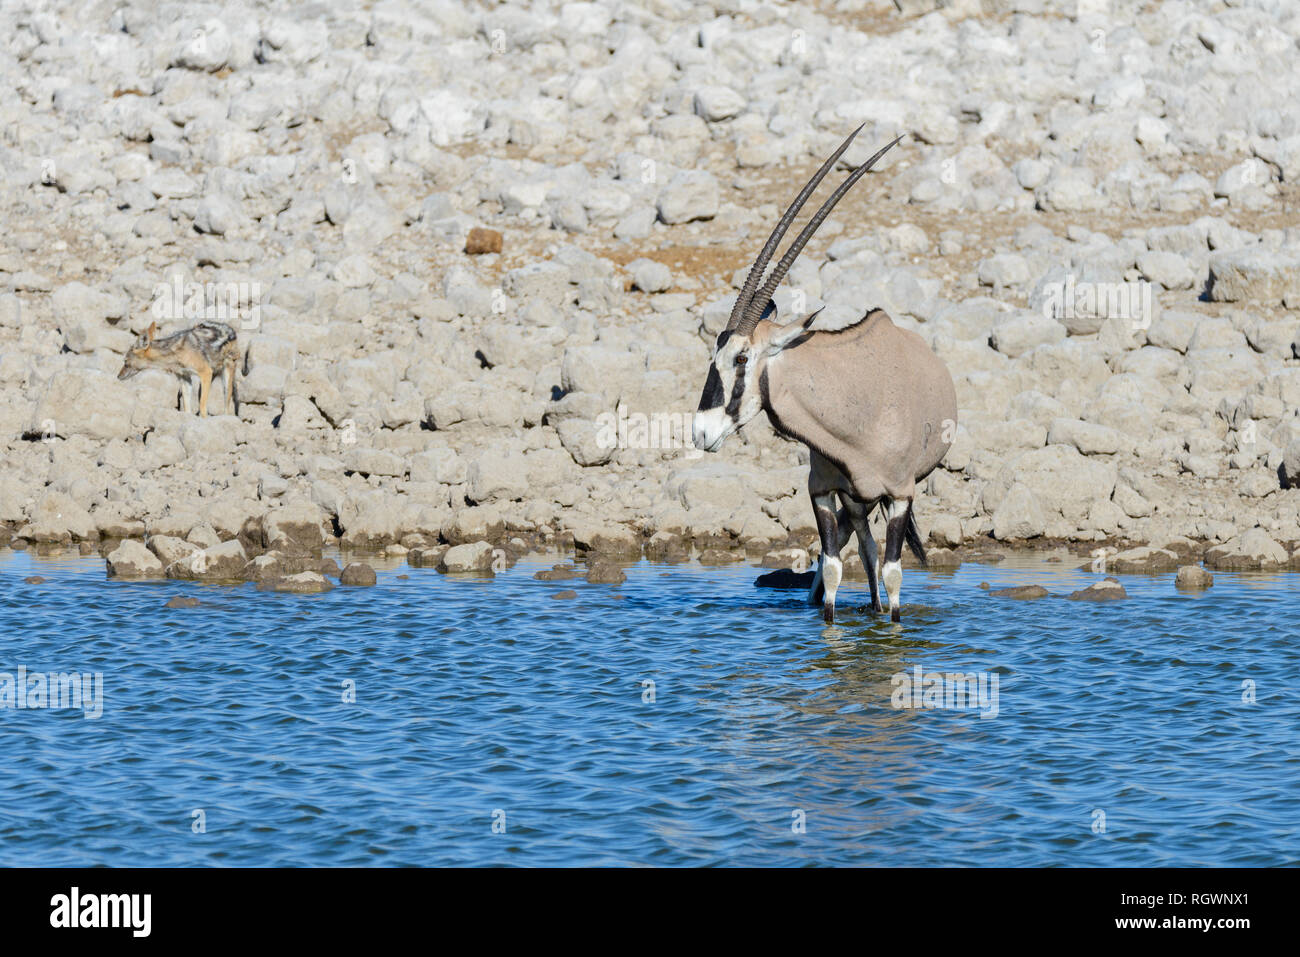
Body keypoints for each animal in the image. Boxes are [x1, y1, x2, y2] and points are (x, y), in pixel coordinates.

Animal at [691, 127, 958, 624]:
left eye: (741, 359)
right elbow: (832, 568)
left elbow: (894, 575)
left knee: (875, 558)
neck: (855, 405)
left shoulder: (900, 493)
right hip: (855, 502)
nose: (700, 432)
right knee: (861, 551)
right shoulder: (822, 492)